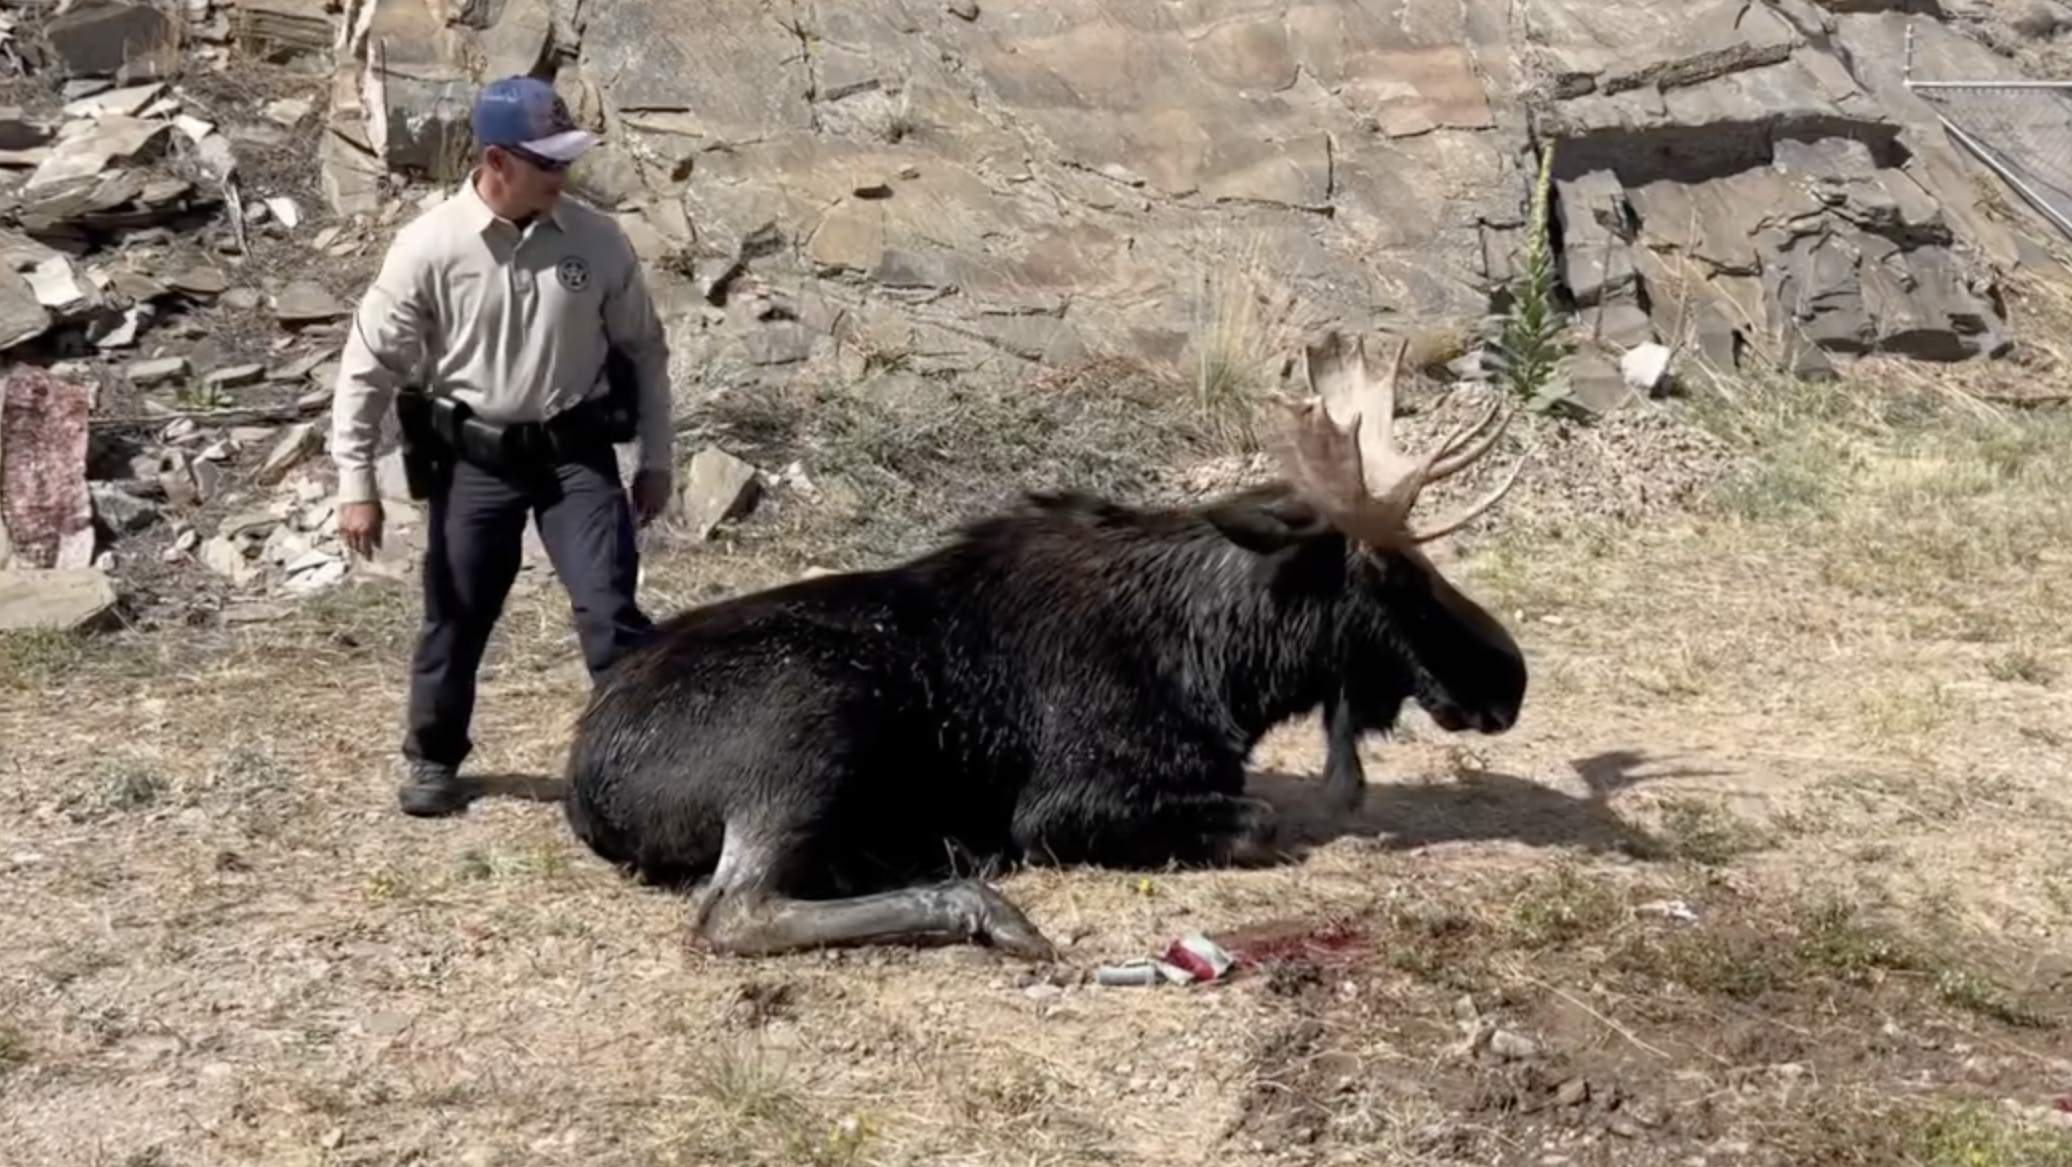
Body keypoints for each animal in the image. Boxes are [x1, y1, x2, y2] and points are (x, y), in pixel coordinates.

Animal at [560, 329, 1528, 962]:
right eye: (1392, 575)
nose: (1511, 676)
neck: (1227, 671)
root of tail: (586, 783)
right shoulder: (1065, 803)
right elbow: (1258, 818)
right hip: (811, 724)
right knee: (734, 911)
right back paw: (981, 906)